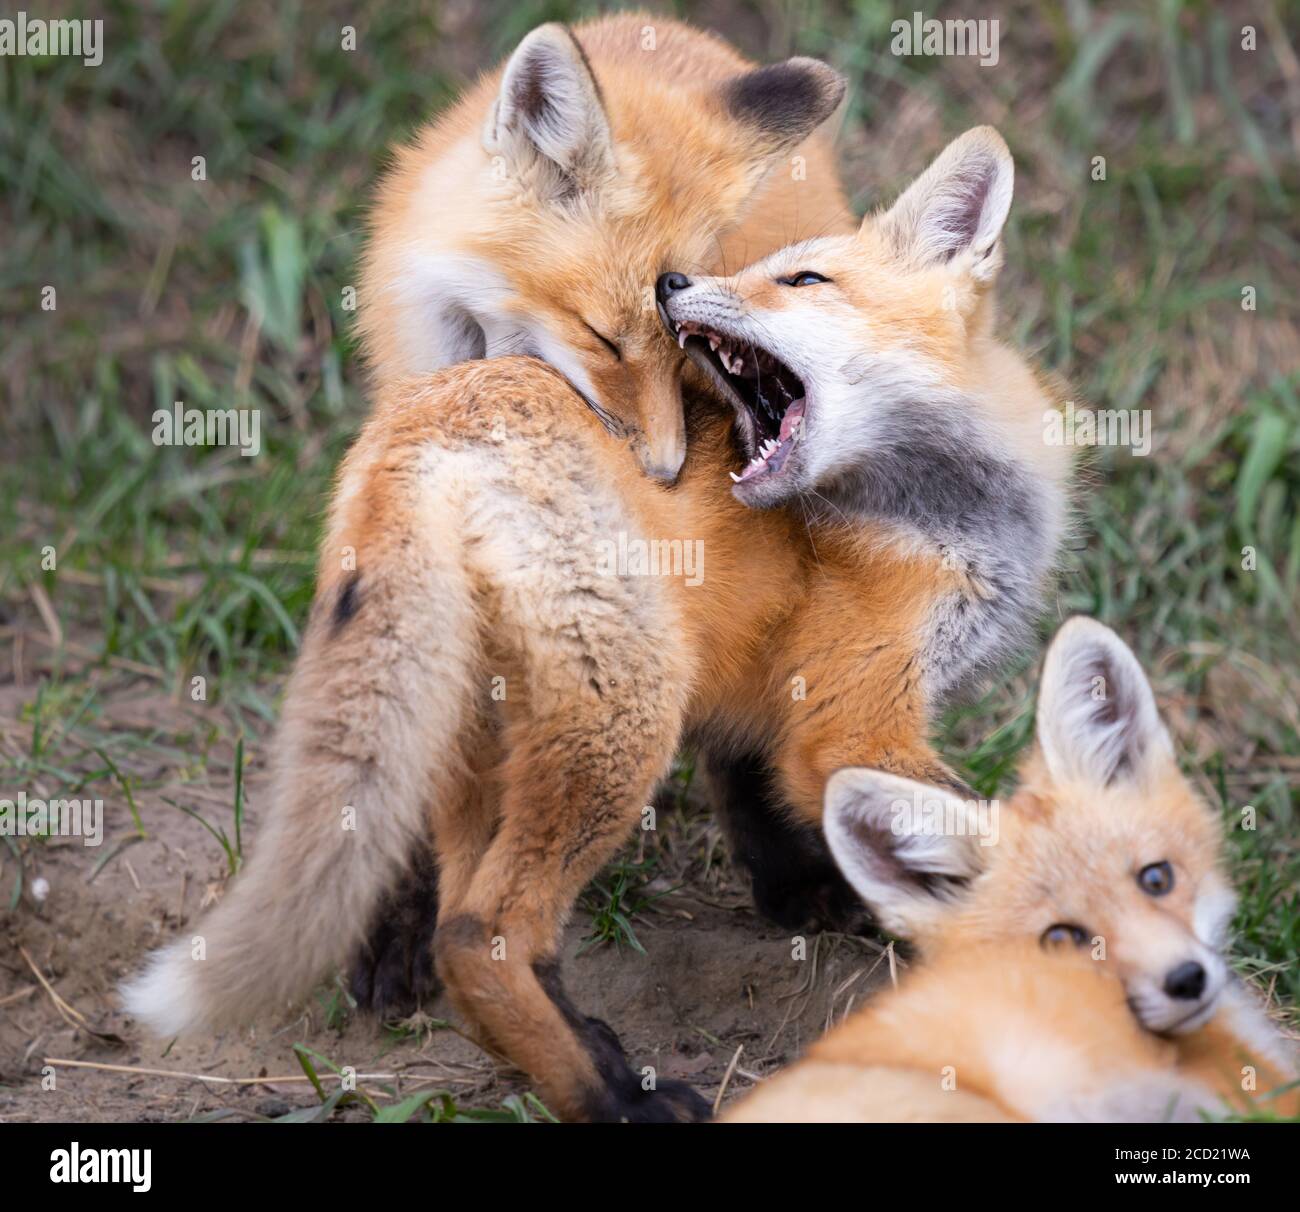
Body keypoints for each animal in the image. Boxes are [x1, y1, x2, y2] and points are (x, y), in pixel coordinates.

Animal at [122, 127, 1073, 1122]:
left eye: (803, 278)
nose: (670, 283)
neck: (937, 508)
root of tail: (418, 421)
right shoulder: (852, 717)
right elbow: (989, 826)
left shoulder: (765, 691)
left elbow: (755, 786)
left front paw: (802, 890)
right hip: (626, 719)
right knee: (480, 930)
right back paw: (617, 1099)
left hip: (482, 733)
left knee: (470, 915)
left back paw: (581, 1055)